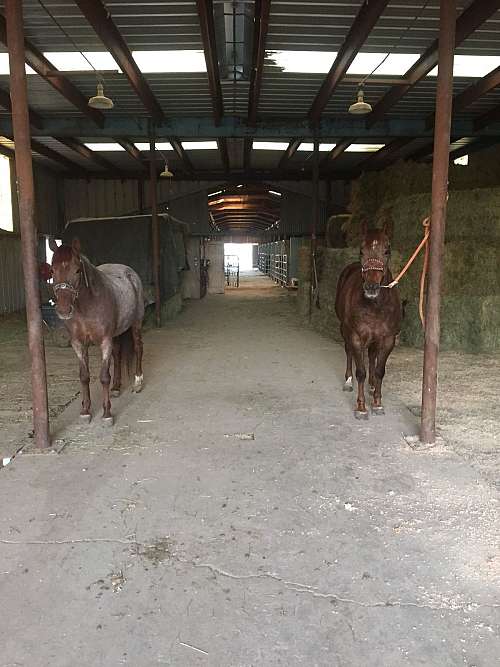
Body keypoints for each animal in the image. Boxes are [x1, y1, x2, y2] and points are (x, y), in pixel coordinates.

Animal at [49, 238, 145, 425]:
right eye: (52, 270)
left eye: (77, 270)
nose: (63, 310)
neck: (87, 306)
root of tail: (131, 273)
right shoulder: (78, 344)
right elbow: (84, 376)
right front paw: (85, 411)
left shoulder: (105, 341)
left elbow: (104, 376)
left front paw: (107, 414)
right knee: (118, 353)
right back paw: (116, 388)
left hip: (136, 324)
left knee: (138, 348)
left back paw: (137, 383)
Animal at [335, 224, 401, 419]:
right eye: (361, 250)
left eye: (387, 250)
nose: (371, 287)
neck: (375, 305)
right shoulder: (356, 336)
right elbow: (361, 372)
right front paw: (361, 407)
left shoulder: (387, 339)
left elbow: (379, 370)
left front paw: (377, 403)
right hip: (344, 329)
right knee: (348, 351)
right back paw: (348, 382)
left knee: (372, 356)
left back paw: (372, 386)